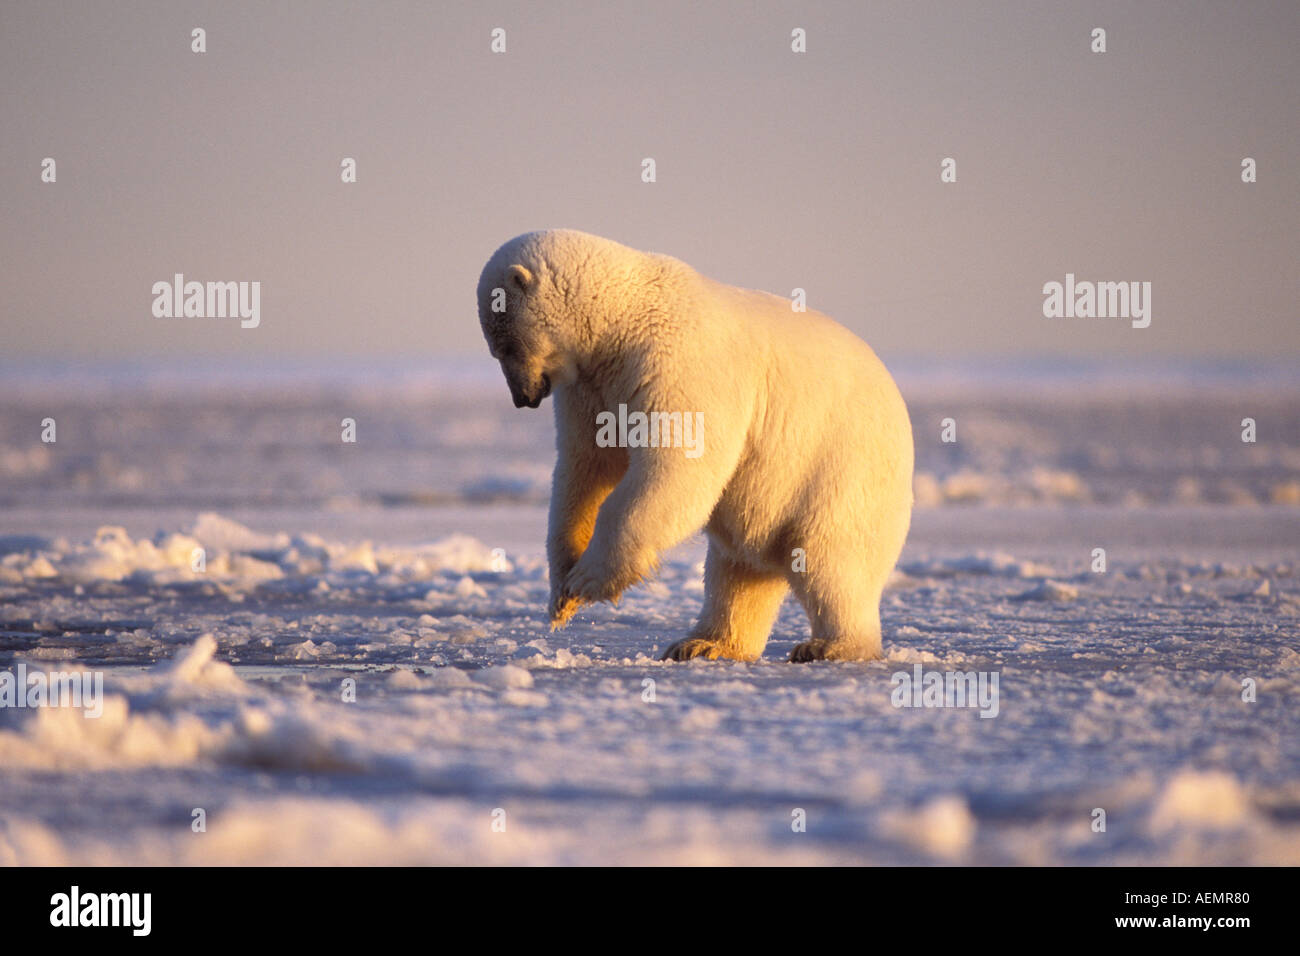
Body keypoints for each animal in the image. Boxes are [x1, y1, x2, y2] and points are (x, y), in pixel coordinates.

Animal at [476, 229, 913, 661]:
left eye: (506, 347)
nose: (523, 398)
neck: (623, 317)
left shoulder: (675, 363)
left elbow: (676, 464)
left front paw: (586, 580)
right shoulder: (591, 388)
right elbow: (586, 467)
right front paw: (561, 594)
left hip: (840, 472)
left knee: (830, 560)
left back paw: (831, 646)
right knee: (736, 571)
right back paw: (703, 644)